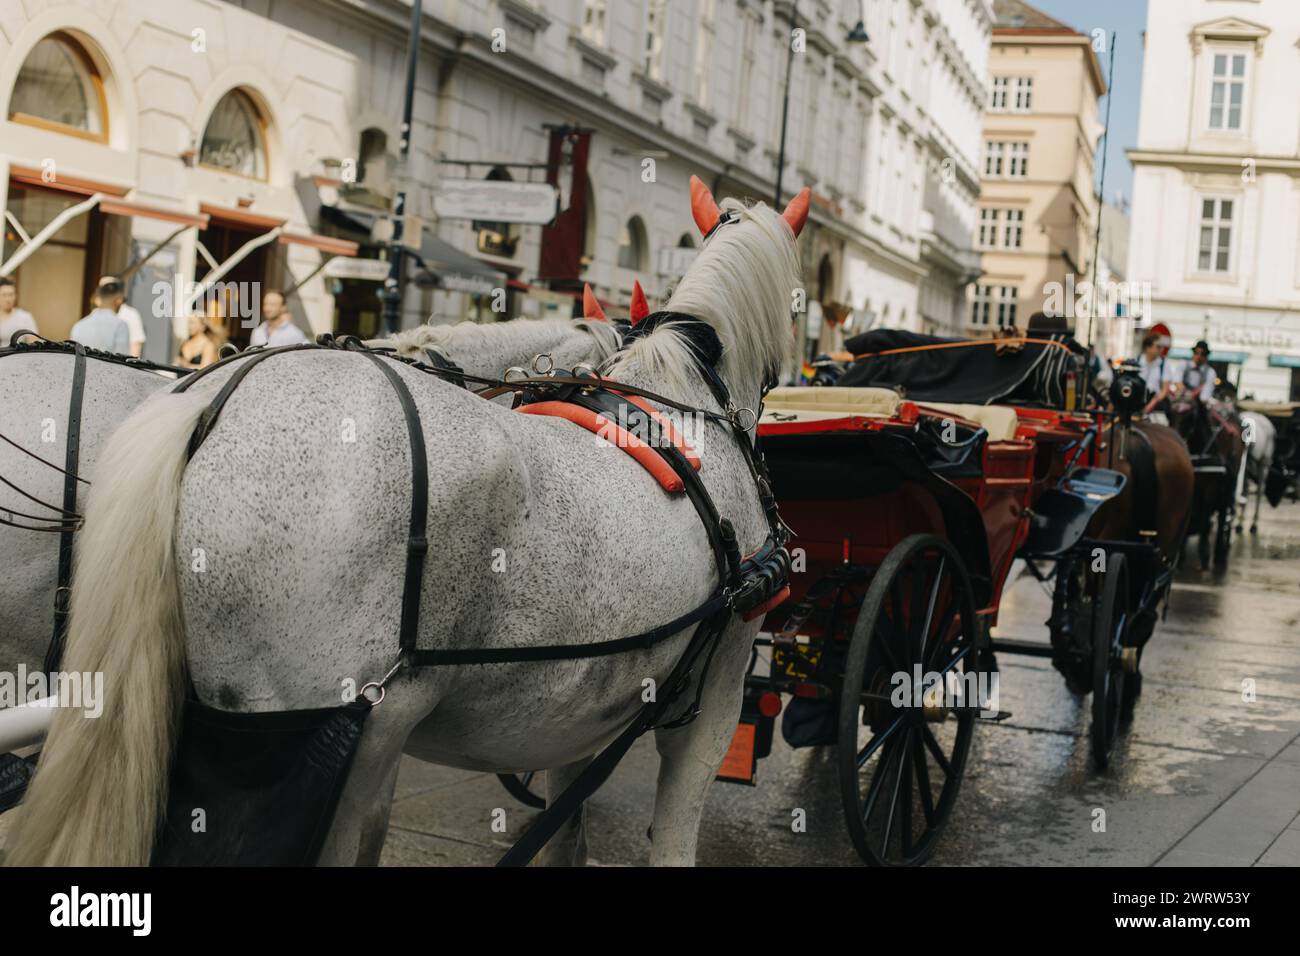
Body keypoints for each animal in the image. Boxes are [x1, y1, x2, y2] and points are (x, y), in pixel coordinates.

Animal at [5, 179, 808, 867]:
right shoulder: (713, 695)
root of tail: (211, 403)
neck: (686, 401)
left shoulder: (603, 700)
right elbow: (671, 834)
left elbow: (564, 830)